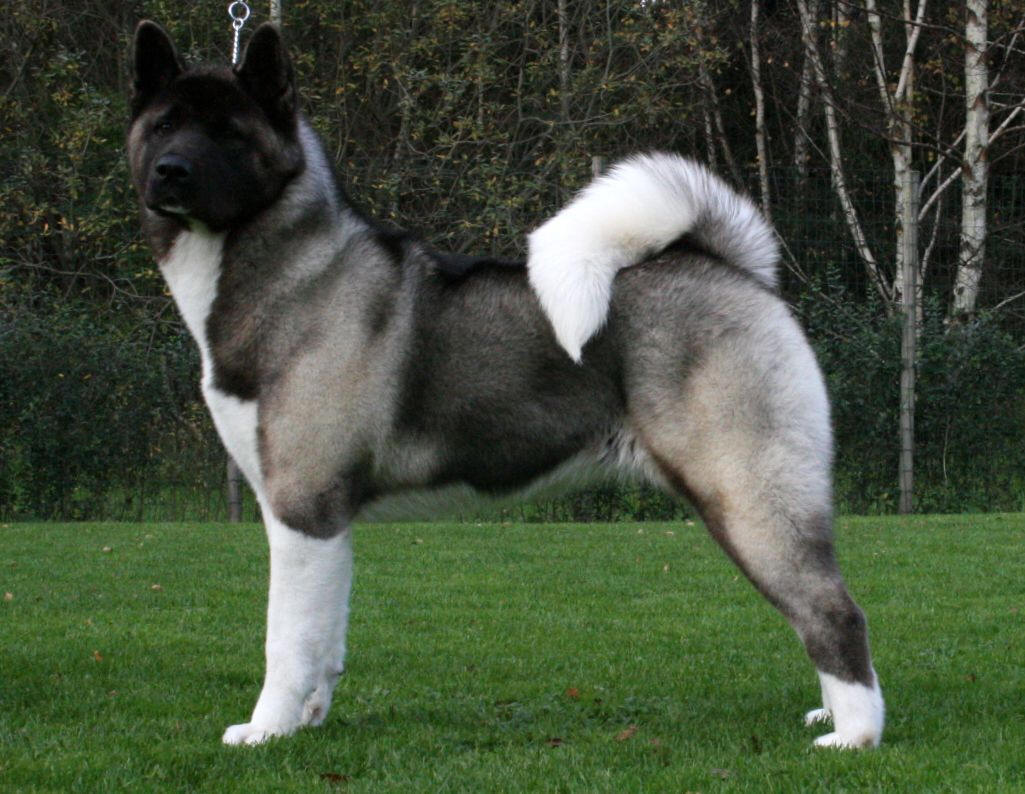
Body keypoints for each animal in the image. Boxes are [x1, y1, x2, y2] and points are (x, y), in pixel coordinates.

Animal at [127, 20, 884, 748]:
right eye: (164, 125)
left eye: (229, 131)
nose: (171, 170)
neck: (292, 272)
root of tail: (729, 267)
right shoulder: (323, 524)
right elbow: (324, 642)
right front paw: (309, 719)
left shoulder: (302, 510)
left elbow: (285, 641)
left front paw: (267, 731)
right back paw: (830, 715)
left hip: (748, 496)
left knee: (832, 611)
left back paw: (855, 736)